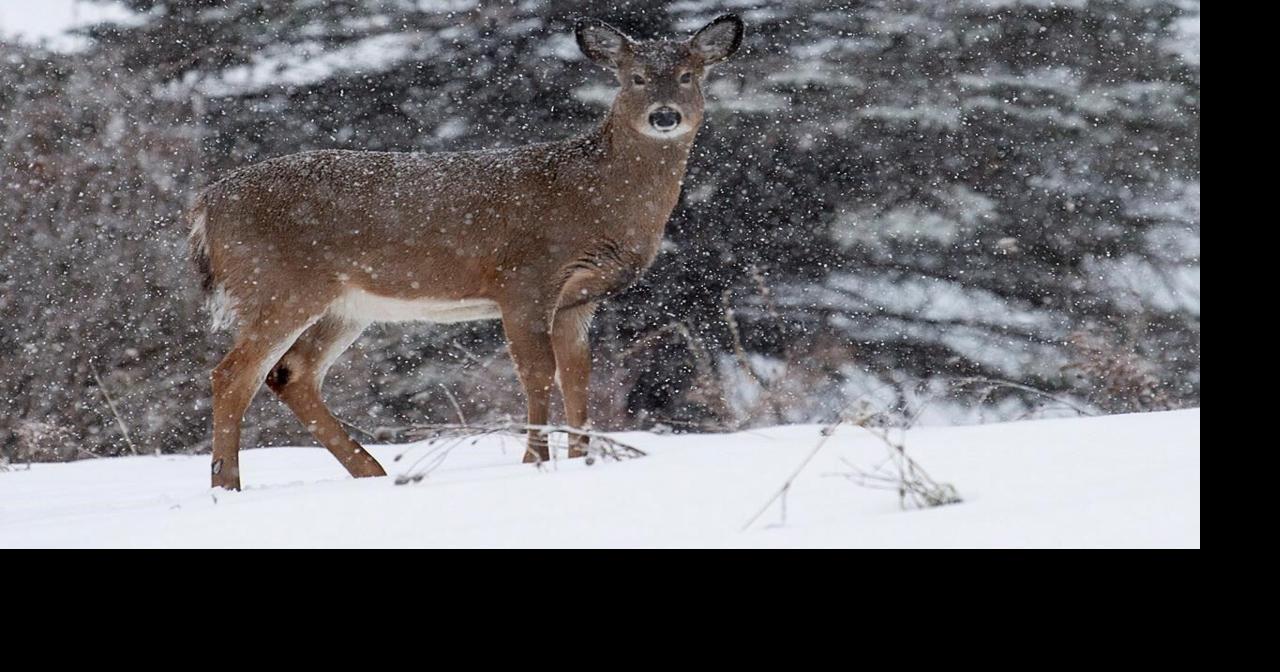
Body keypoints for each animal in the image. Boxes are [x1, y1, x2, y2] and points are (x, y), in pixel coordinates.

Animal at [188, 15, 745, 490]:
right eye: (634, 78)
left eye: (688, 75)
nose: (664, 115)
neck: (594, 197)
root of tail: (206, 205)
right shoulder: (524, 278)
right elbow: (537, 373)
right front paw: (534, 462)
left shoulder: (579, 297)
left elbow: (578, 377)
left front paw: (583, 459)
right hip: (278, 284)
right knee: (233, 374)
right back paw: (226, 485)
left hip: (345, 305)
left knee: (290, 374)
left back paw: (371, 472)